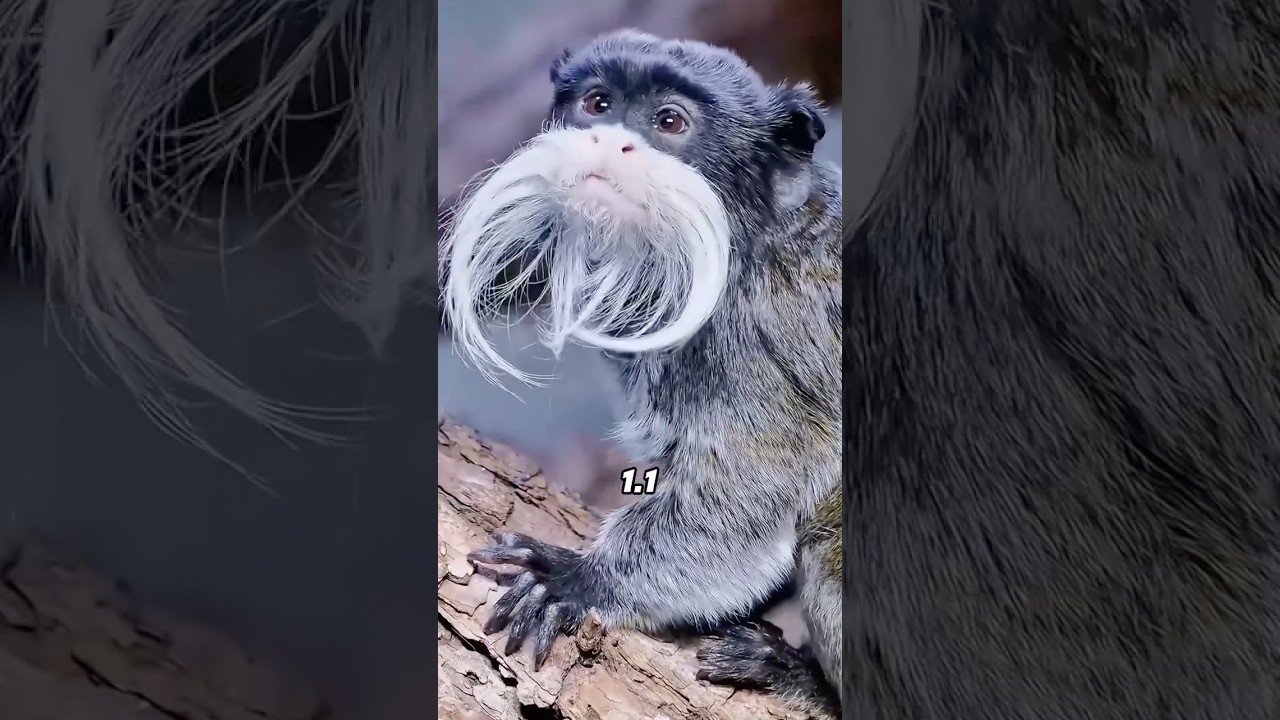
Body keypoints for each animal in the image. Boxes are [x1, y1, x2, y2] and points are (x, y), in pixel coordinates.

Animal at [442, 30, 844, 718]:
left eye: (669, 123)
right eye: (598, 105)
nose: (610, 142)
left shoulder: (760, 332)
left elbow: (752, 490)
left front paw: (579, 580)